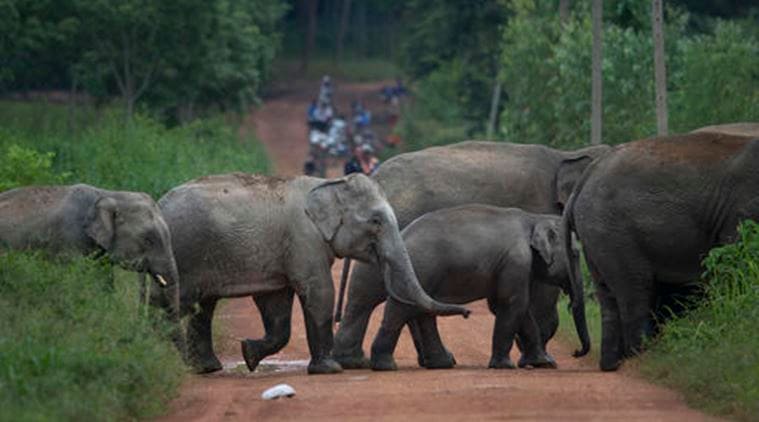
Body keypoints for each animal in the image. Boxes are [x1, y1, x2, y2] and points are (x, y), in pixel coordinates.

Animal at [154, 172, 469, 375]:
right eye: (376, 221)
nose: (467, 313)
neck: (328, 185)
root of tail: (159, 204)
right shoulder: (303, 239)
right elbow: (319, 292)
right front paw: (330, 369)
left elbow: (277, 306)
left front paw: (249, 353)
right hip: (184, 252)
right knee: (175, 304)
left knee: (202, 307)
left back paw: (206, 367)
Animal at [369, 205, 590, 371]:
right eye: (575, 254)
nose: (576, 352)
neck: (534, 218)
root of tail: (402, 235)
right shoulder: (516, 261)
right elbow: (513, 303)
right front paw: (505, 366)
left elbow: (510, 306)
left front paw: (544, 363)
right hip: (422, 267)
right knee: (402, 310)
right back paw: (386, 366)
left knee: (420, 310)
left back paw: (440, 364)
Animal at [563, 130, 759, 371]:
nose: (574, 352)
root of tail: (584, 181)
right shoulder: (743, 210)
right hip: (614, 234)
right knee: (635, 293)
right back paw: (640, 358)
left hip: (597, 236)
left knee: (608, 297)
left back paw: (612, 364)